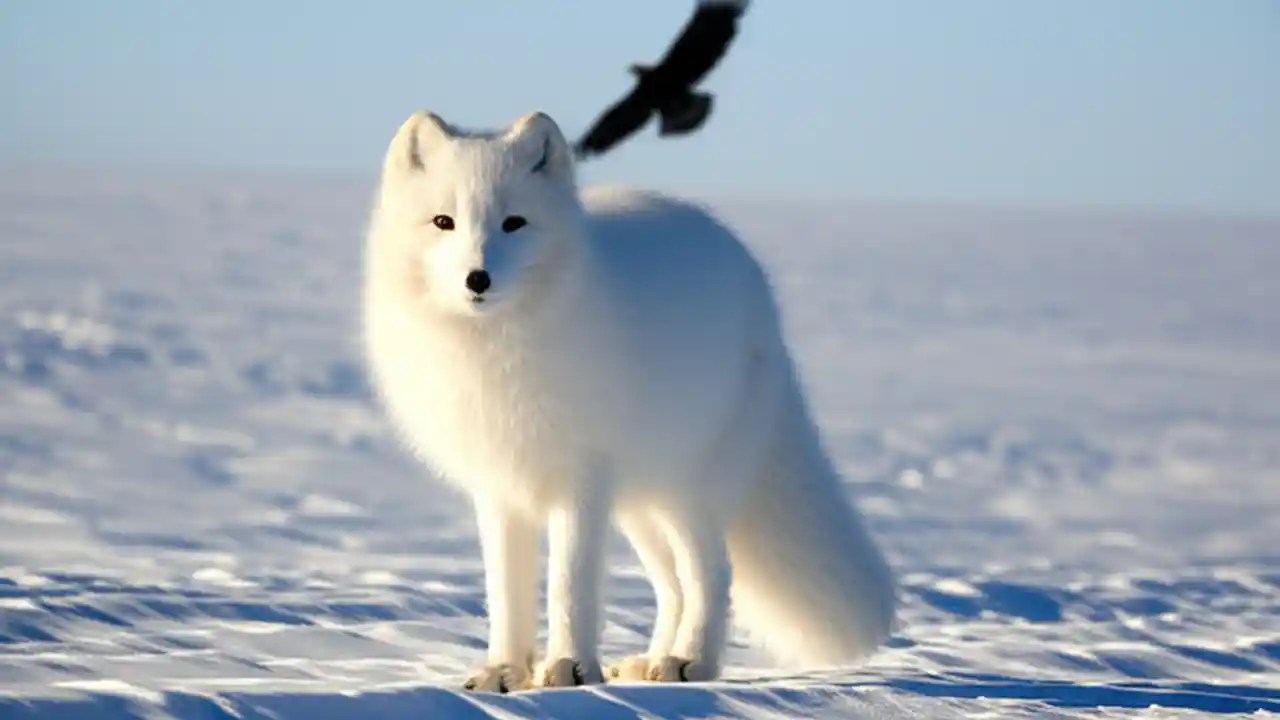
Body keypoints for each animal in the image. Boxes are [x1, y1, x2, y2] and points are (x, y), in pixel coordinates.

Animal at [362, 110, 895, 691]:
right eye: (443, 222)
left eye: (514, 223)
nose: (476, 278)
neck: (495, 352)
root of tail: (755, 284)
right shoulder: (500, 486)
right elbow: (505, 593)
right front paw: (504, 671)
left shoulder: (581, 480)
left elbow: (569, 584)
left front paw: (569, 668)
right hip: (640, 504)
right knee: (673, 586)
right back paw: (652, 662)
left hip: (687, 489)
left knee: (711, 574)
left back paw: (691, 662)